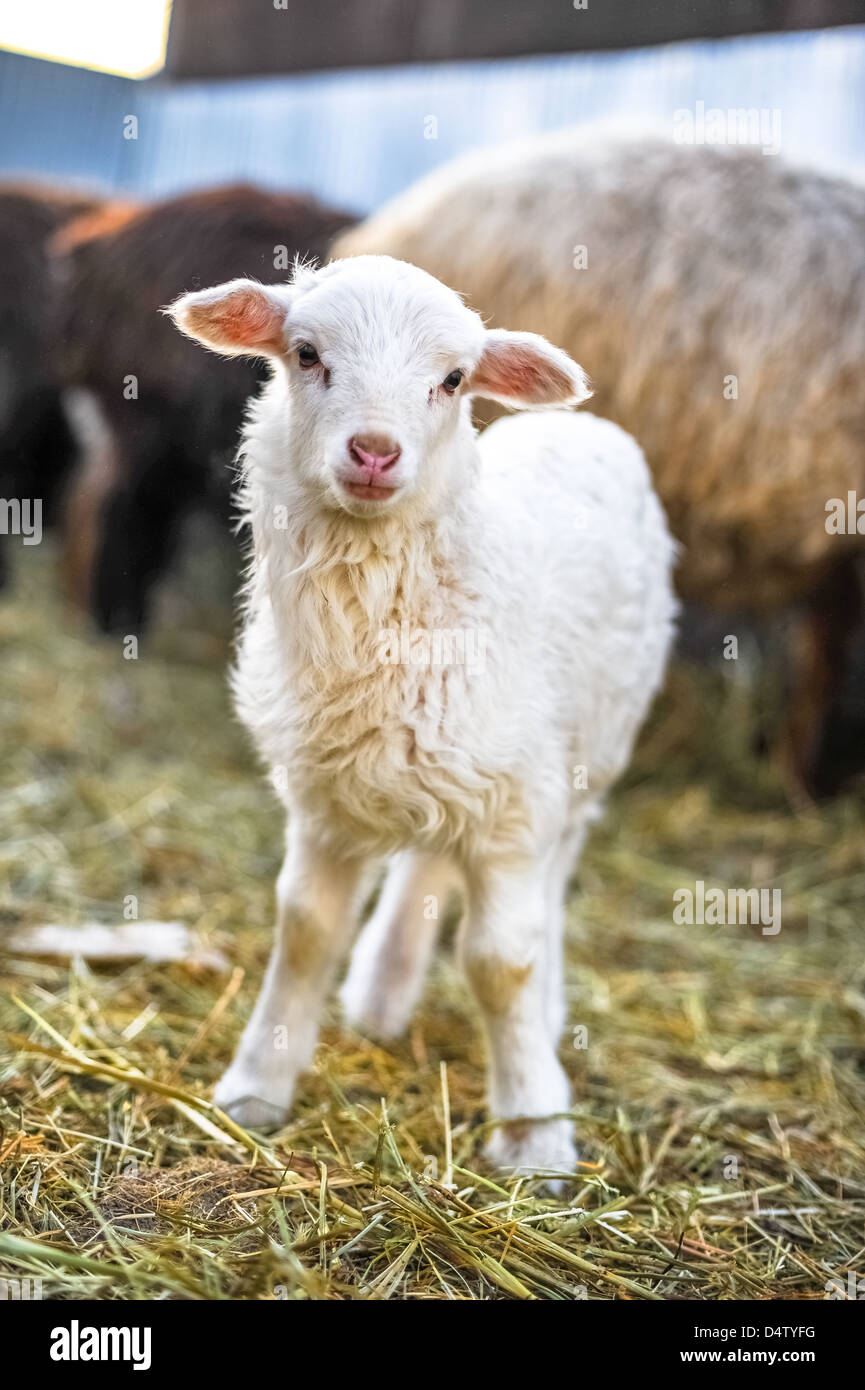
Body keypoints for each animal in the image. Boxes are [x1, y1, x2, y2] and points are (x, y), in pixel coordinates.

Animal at [168, 254, 676, 1175]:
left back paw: (543, 1014)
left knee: (552, 876)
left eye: (452, 379)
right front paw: (257, 1084)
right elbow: (305, 930)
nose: (374, 451)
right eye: (306, 354)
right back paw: (381, 992)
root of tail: (591, 427)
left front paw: (534, 1131)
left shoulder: (516, 806)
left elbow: (500, 963)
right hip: (433, 760)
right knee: (426, 866)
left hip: (586, 755)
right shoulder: (327, 801)